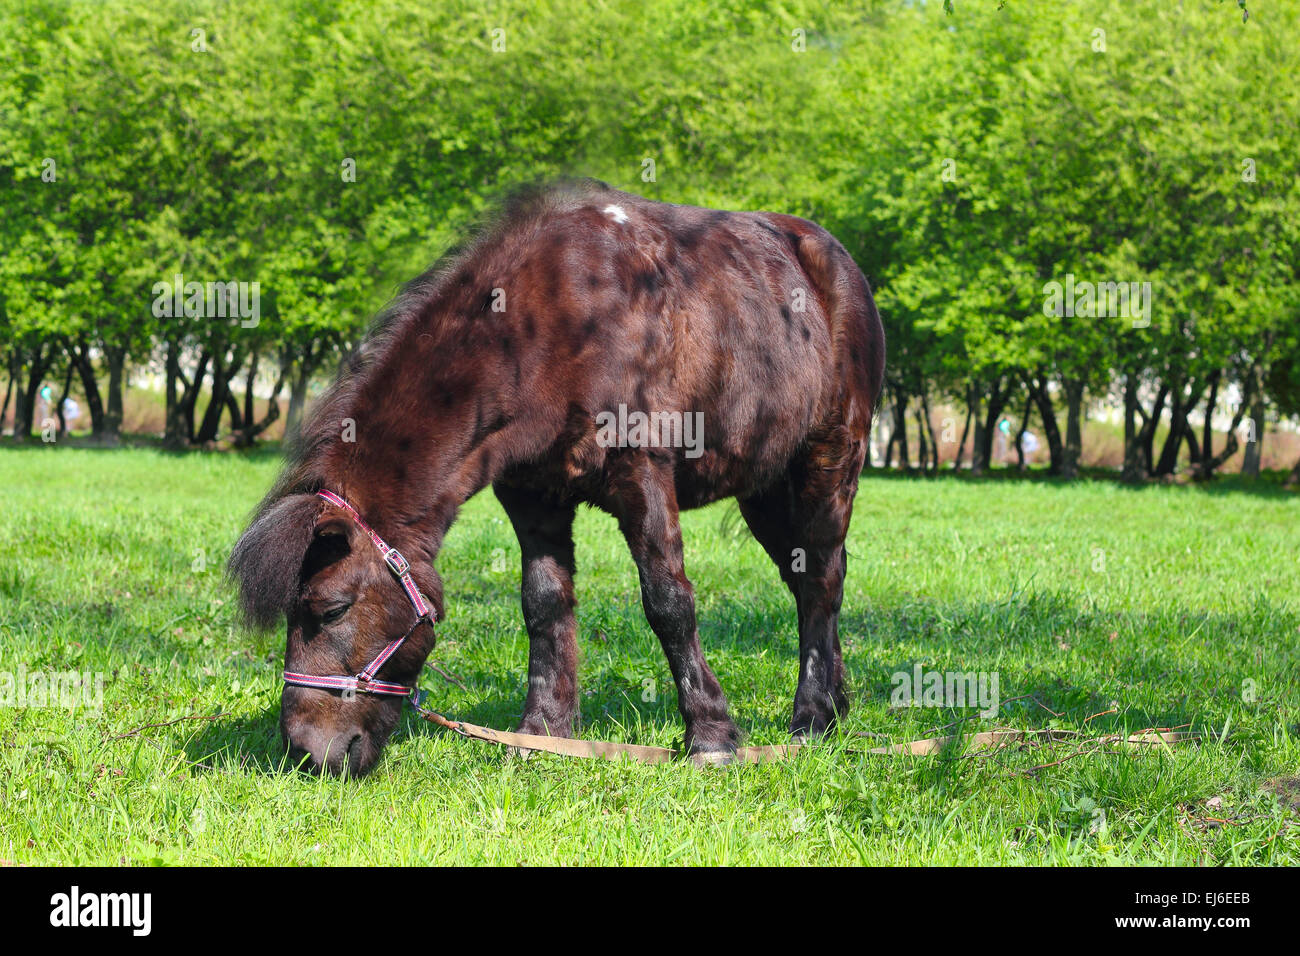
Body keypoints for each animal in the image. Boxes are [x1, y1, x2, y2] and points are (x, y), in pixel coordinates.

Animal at [229, 180, 886, 776]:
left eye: (332, 609)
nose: (307, 754)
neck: (553, 323)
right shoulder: (532, 496)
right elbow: (544, 605)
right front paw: (541, 732)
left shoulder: (643, 476)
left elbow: (669, 601)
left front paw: (711, 736)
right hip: (766, 490)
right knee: (811, 582)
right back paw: (835, 705)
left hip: (829, 464)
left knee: (821, 583)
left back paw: (811, 720)